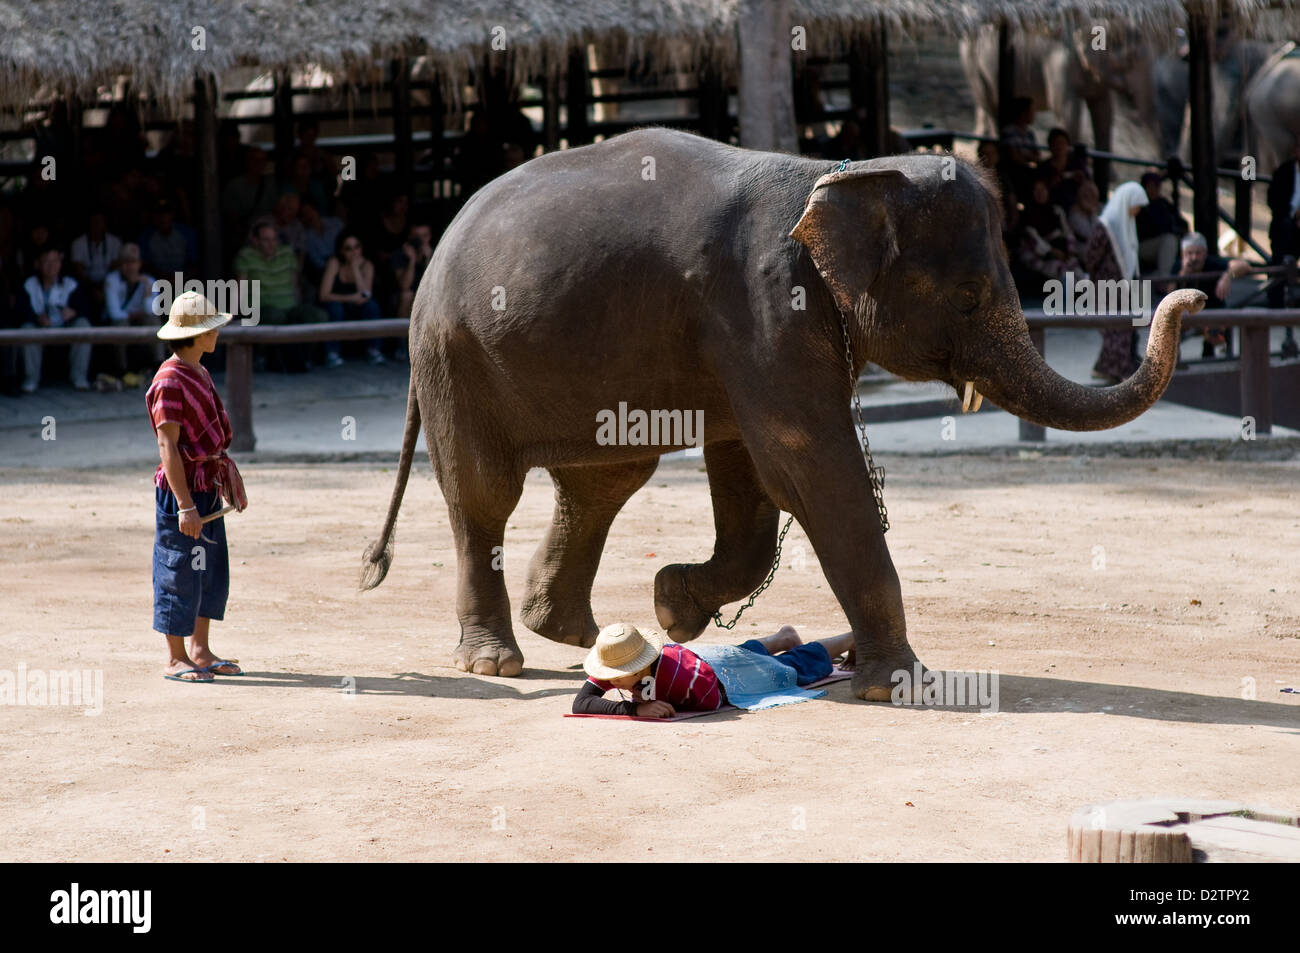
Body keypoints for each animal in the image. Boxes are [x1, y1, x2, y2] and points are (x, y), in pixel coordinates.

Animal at [360, 127, 1205, 701]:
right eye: (968, 297)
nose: (1194, 295)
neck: (838, 177)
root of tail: (437, 249)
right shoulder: (762, 304)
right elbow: (805, 459)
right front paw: (899, 684)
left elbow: (750, 473)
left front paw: (674, 607)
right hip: (453, 356)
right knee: (484, 494)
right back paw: (495, 659)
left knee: (606, 479)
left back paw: (570, 631)